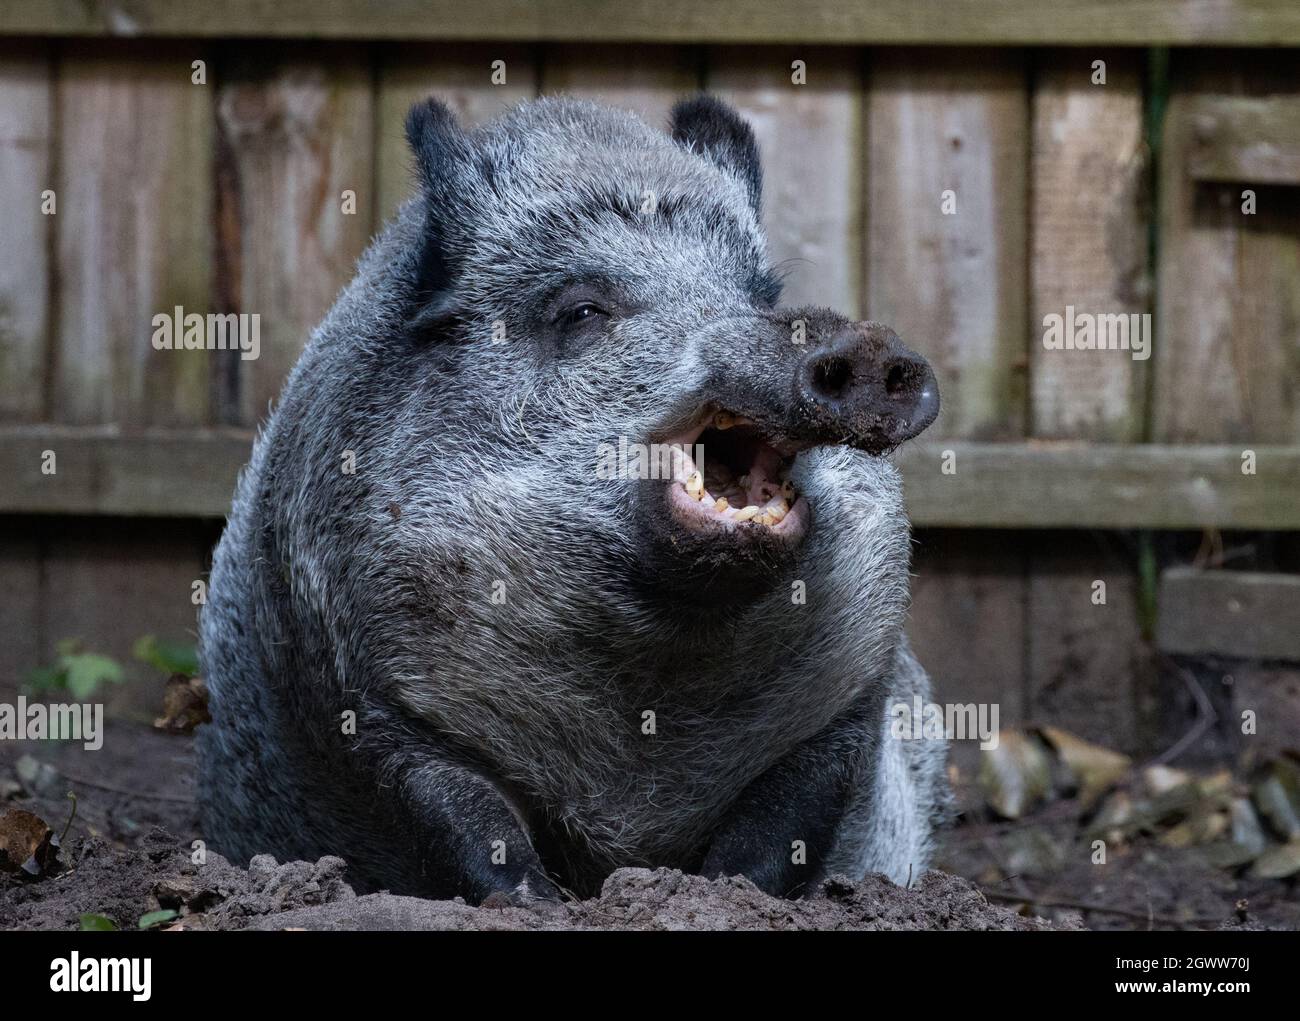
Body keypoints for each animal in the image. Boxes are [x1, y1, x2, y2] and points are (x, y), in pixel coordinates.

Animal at [197, 94, 947, 903]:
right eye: (583, 312)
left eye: (756, 295)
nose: (866, 344)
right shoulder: (356, 689)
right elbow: (461, 814)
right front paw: (537, 903)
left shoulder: (855, 686)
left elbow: (785, 821)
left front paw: (721, 896)